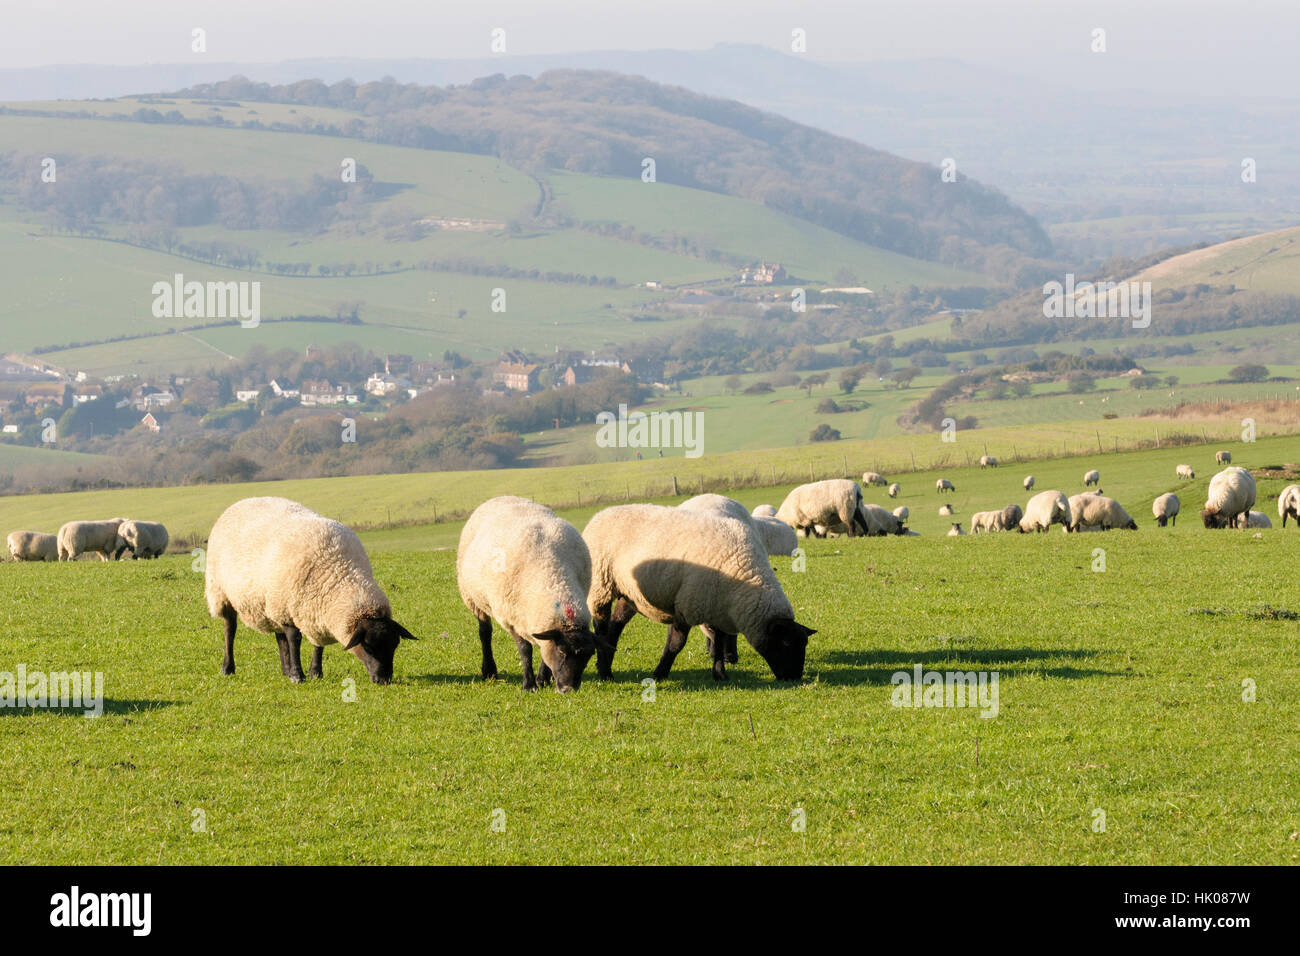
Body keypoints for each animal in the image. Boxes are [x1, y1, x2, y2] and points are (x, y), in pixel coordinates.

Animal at [205, 497, 417, 684]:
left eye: (395, 646)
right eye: (368, 647)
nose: (384, 680)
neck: (340, 572)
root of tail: (241, 501)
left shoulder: (312, 609)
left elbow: (317, 644)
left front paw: (315, 672)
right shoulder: (289, 607)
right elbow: (294, 639)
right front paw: (298, 676)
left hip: (271, 599)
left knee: (279, 635)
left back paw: (285, 669)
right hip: (222, 593)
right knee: (230, 629)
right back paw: (228, 667)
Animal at [458, 496, 597, 692]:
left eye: (589, 655)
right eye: (562, 651)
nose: (568, 688)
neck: (554, 579)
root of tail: (502, 496)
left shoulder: (542, 622)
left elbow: (544, 648)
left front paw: (543, 679)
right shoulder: (510, 618)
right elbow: (525, 649)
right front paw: (529, 684)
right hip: (474, 599)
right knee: (485, 633)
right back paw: (489, 671)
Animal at [583, 504, 815, 682]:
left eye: (804, 644)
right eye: (785, 643)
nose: (794, 678)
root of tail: (600, 514)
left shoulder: (718, 611)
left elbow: (719, 643)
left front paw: (720, 674)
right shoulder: (684, 607)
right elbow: (676, 645)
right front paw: (660, 673)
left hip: (629, 595)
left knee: (615, 628)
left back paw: (606, 668)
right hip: (601, 586)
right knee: (602, 628)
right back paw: (605, 672)